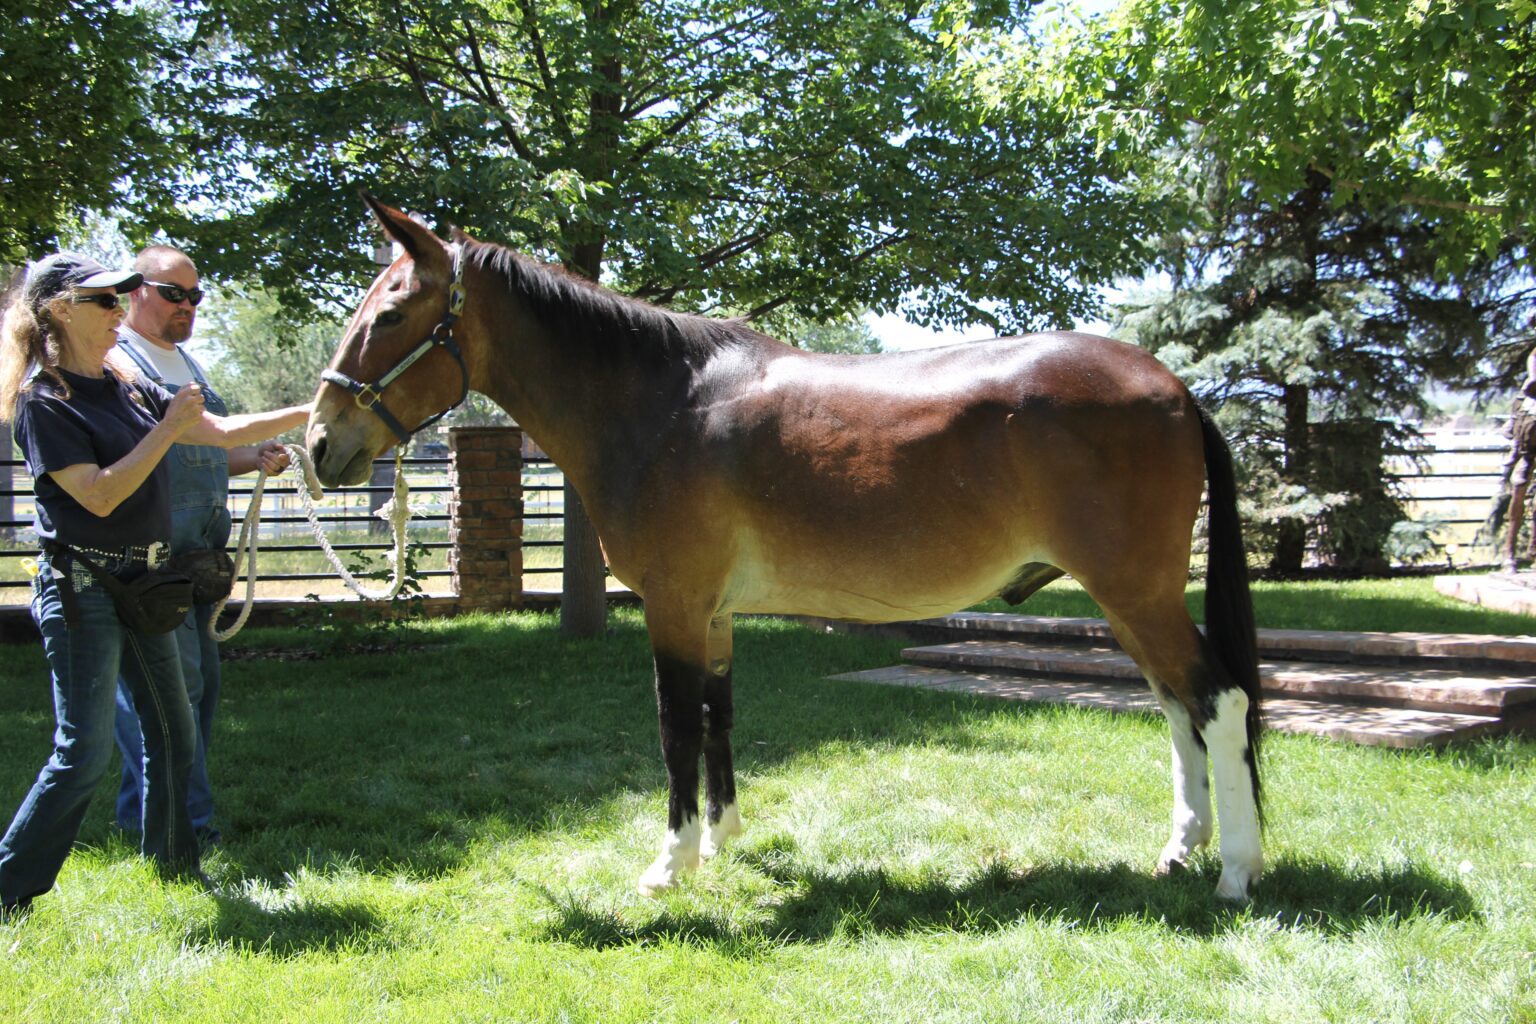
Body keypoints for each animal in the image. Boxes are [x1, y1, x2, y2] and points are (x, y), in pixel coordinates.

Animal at [307, 194, 1265, 901]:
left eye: (390, 312)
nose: (319, 443)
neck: (663, 402)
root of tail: (1176, 388)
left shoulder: (674, 604)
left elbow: (675, 725)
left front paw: (671, 864)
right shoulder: (715, 613)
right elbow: (719, 717)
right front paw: (725, 840)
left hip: (1135, 592)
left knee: (1218, 704)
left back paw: (1235, 873)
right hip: (1128, 601)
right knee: (1177, 708)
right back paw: (1181, 851)